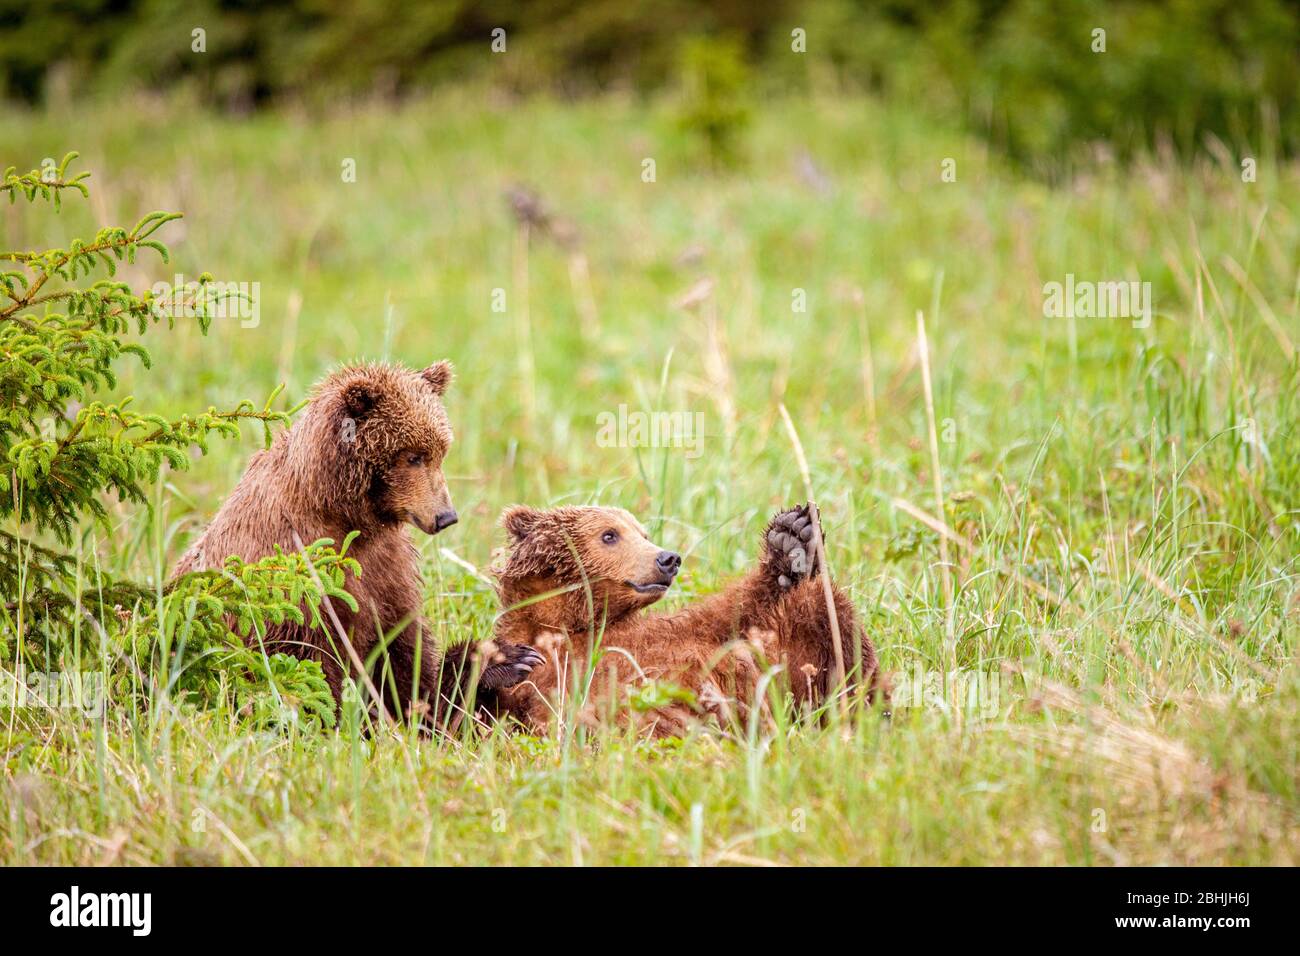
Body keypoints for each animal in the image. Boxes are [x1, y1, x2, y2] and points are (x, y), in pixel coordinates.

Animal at [171, 360, 542, 726]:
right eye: (412, 456)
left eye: (440, 451)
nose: (446, 516)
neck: (342, 515)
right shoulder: (296, 577)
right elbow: (311, 669)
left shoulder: (387, 571)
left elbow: (407, 671)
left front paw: (504, 660)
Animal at [478, 502, 884, 737]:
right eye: (609, 534)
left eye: (643, 532)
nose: (668, 558)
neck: (573, 626)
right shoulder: (539, 689)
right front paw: (508, 662)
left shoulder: (671, 632)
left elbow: (731, 614)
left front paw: (792, 539)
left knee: (822, 614)